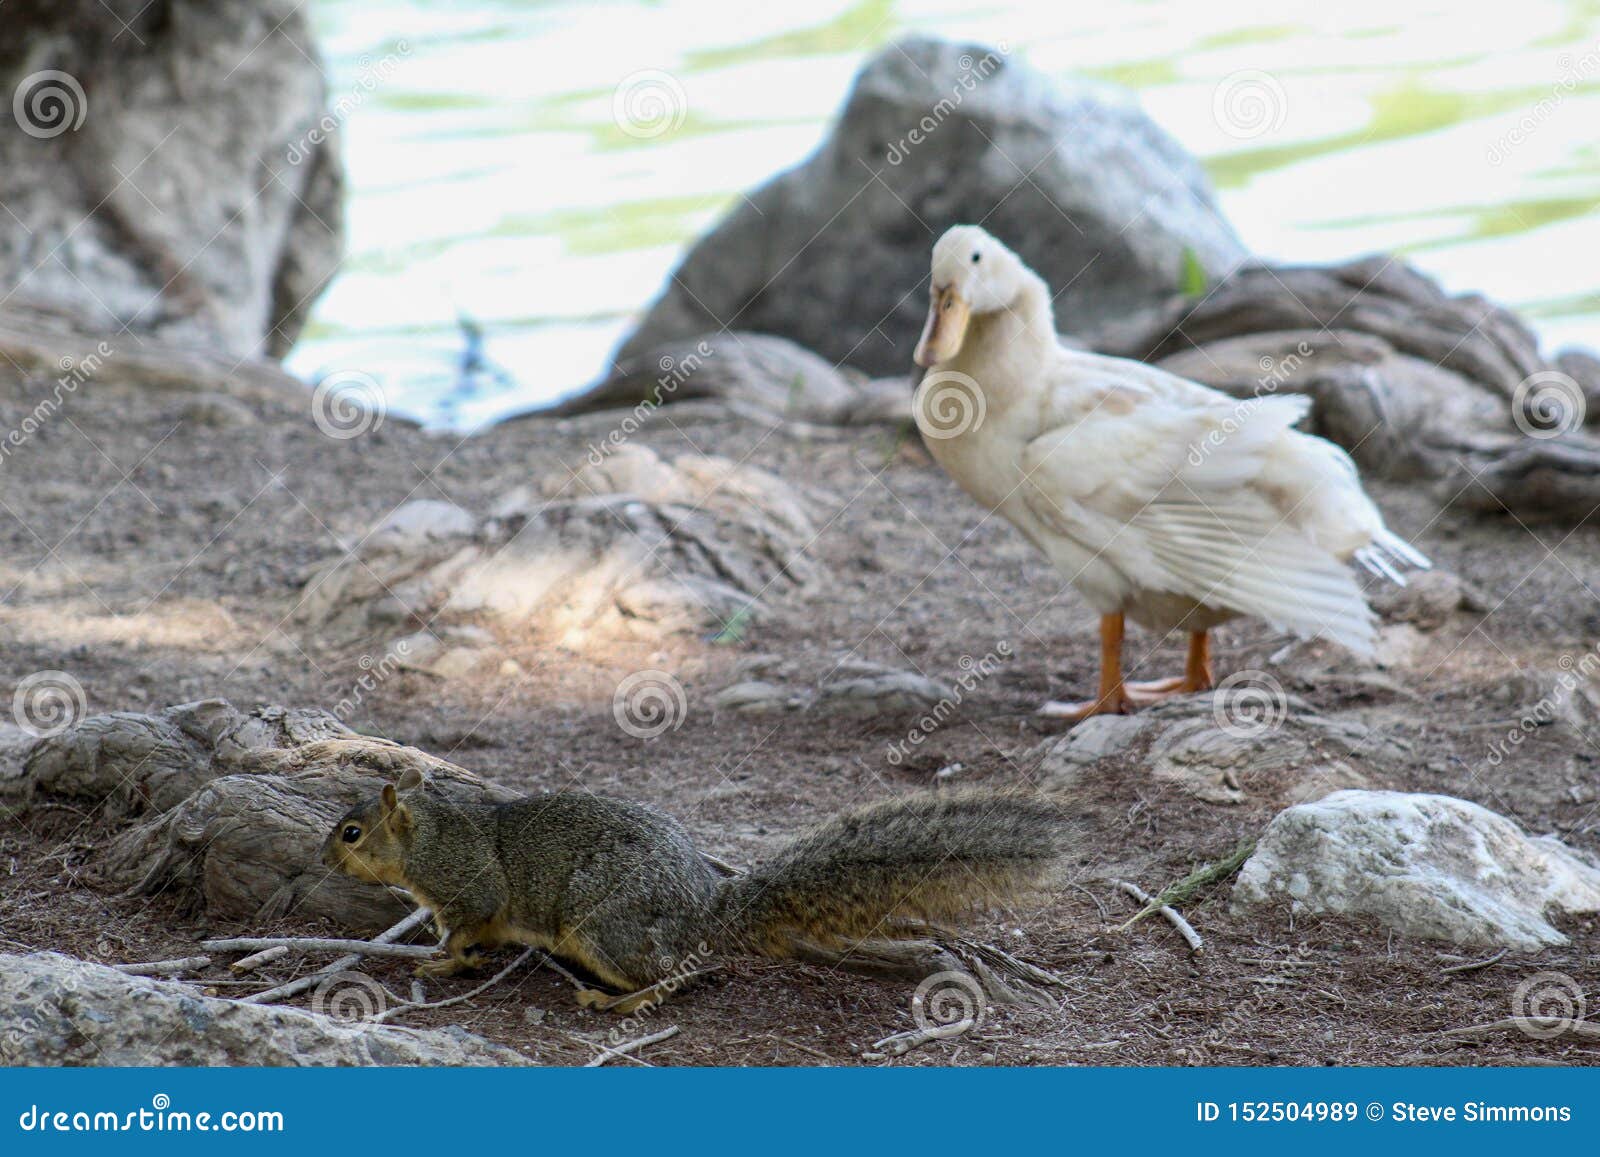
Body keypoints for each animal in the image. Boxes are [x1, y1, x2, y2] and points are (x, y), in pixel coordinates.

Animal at [321, 768, 1065, 1012]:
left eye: (351, 832)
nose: (324, 857)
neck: (427, 837)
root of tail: (706, 911)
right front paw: (453, 958)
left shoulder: (471, 889)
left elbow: (467, 927)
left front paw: (445, 960)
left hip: (604, 928)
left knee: (677, 973)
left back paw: (615, 1002)